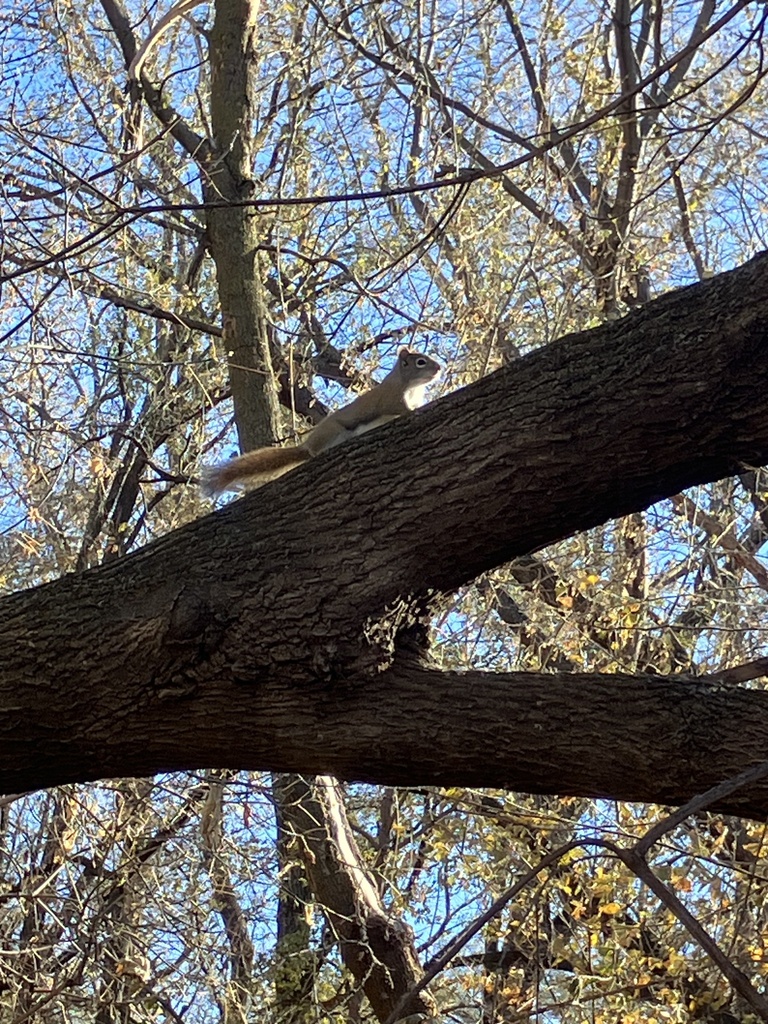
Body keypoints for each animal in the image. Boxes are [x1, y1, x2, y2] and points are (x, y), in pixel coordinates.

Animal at [202, 347, 441, 495]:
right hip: (334, 431)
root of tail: (307, 445)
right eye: (420, 362)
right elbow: (401, 409)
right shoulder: (392, 399)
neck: (410, 385)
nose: (439, 368)